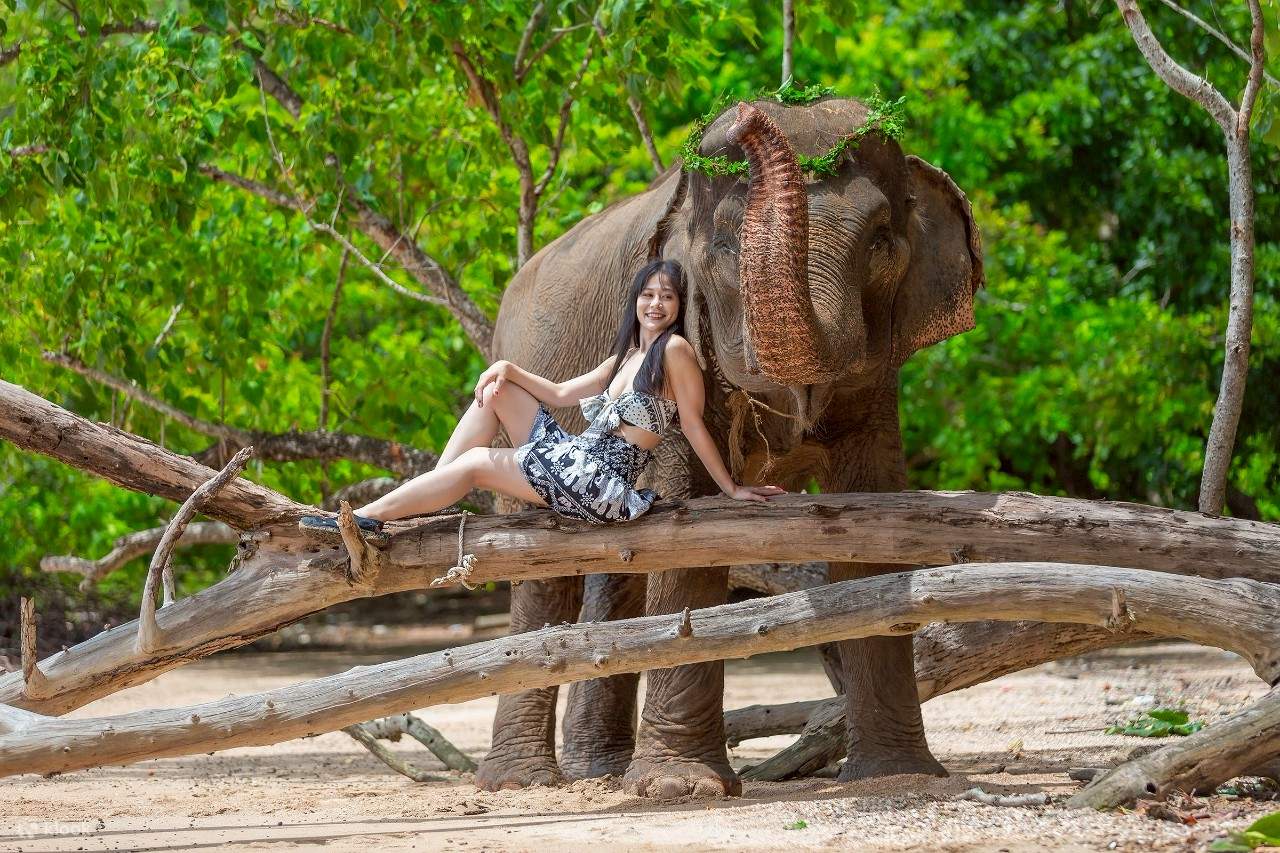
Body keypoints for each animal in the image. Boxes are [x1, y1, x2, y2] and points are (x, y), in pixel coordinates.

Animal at [474, 96, 984, 798]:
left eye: (883, 241)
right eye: (722, 248)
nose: (747, 113)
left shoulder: (877, 380)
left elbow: (872, 527)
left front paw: (898, 776)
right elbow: (688, 534)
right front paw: (679, 787)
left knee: (617, 573)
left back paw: (598, 772)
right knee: (541, 573)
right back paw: (522, 782)